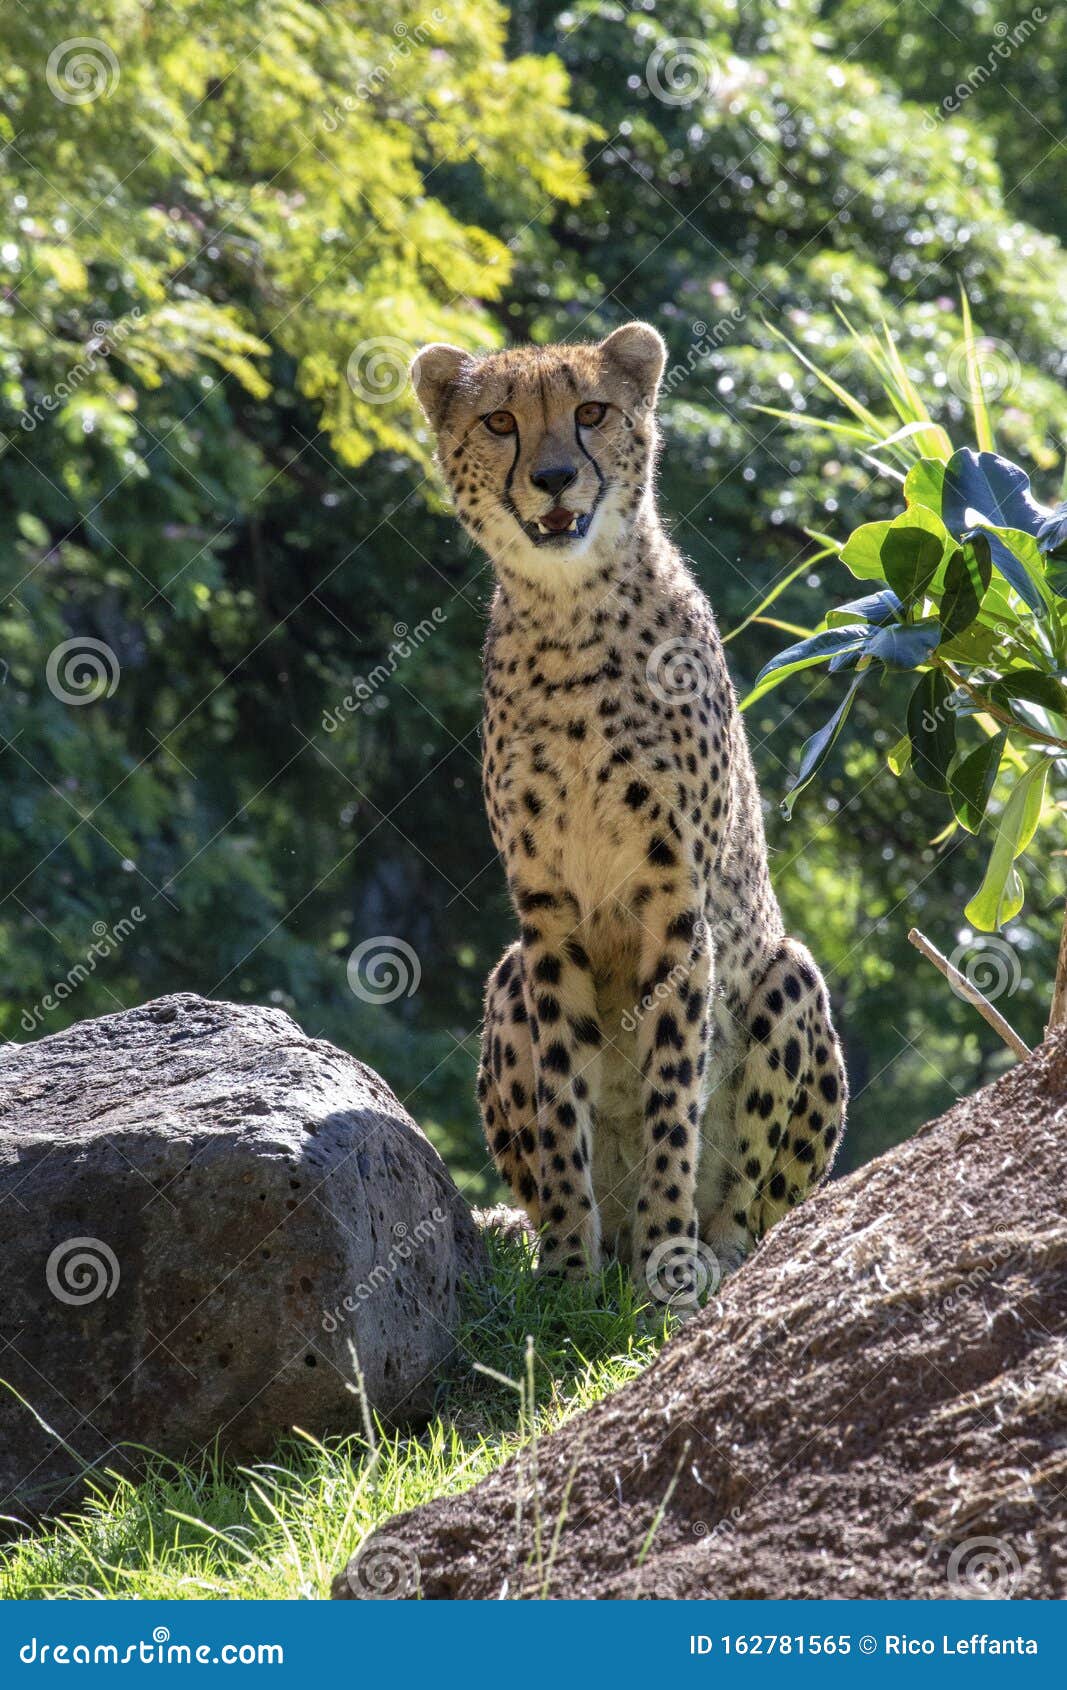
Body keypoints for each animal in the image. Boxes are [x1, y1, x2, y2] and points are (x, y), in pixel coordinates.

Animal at [411, 320, 847, 1302]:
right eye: (500, 421)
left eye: (590, 411)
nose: (552, 478)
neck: (569, 614)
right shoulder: (545, 914)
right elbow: (562, 1102)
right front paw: (570, 1270)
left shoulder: (677, 907)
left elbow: (671, 1096)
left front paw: (664, 1260)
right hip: (505, 976)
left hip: (787, 973)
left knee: (758, 1206)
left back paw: (708, 1250)